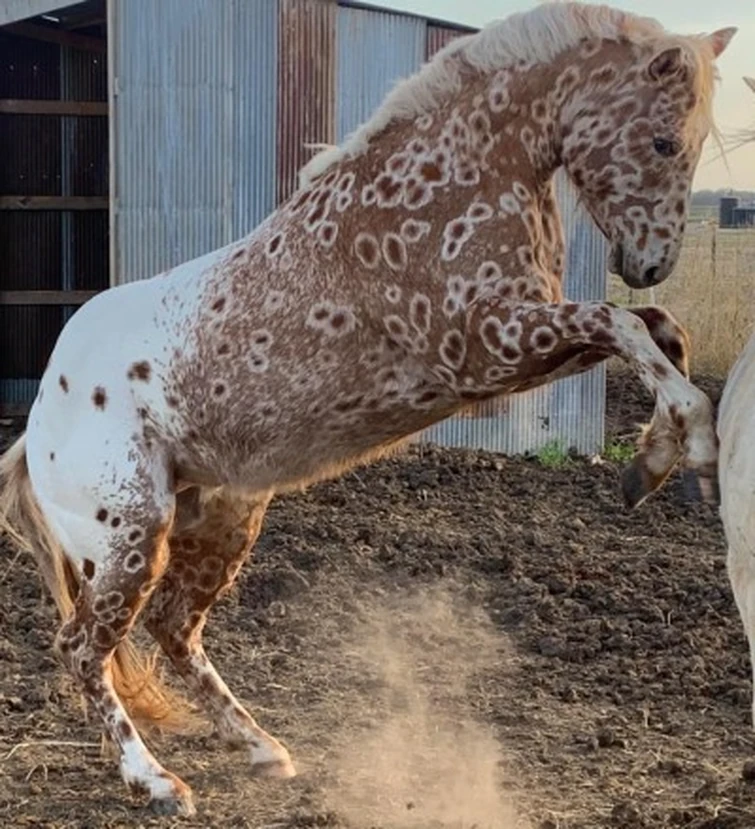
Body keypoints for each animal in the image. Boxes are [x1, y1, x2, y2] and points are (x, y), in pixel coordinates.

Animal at [0, 1, 737, 816]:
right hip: (130, 534)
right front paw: (695, 450)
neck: (445, 181)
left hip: (220, 519)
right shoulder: (486, 347)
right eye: (663, 141)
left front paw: (653, 463)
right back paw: (156, 780)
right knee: (83, 648)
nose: (648, 263)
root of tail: (38, 425)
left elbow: (660, 330)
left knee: (171, 629)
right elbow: (626, 324)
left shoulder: (522, 341)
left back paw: (264, 747)